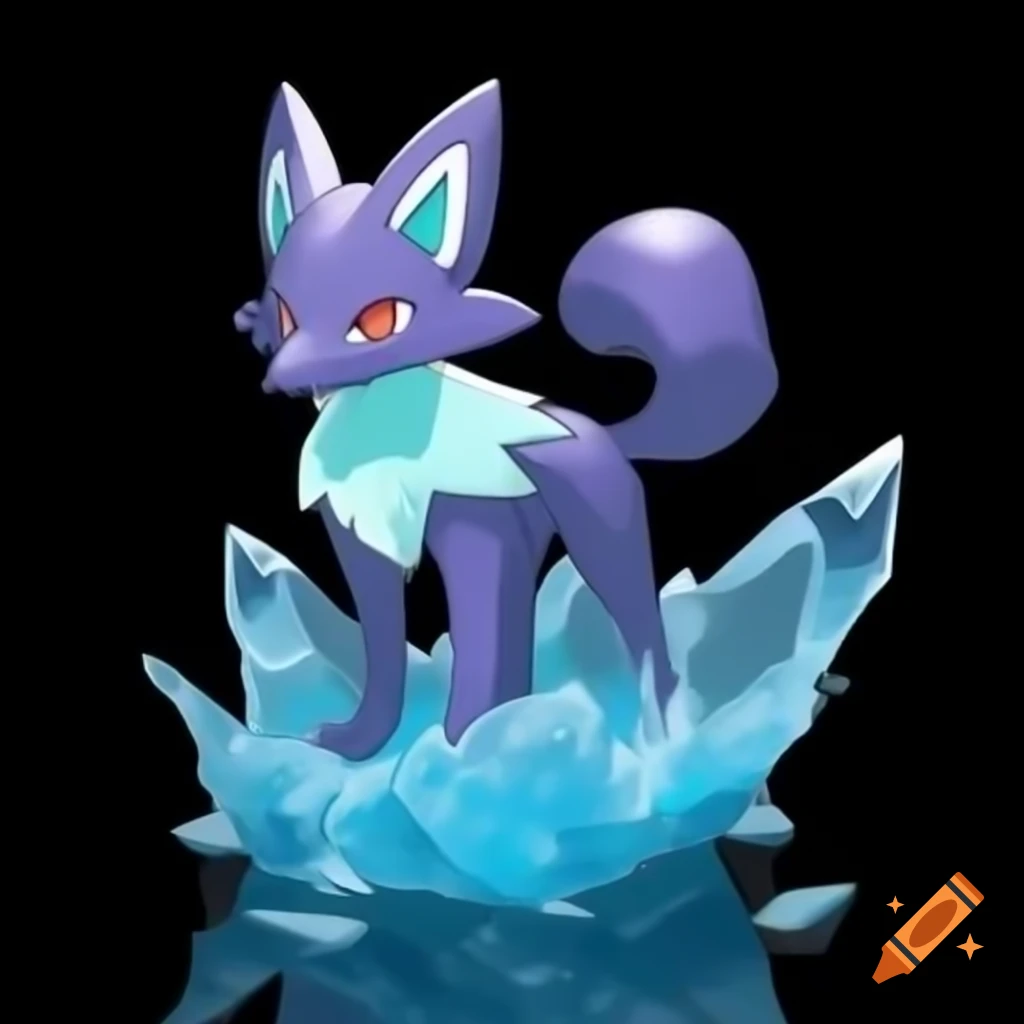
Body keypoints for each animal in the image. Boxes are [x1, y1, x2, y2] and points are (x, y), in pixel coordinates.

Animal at [233, 80, 778, 762]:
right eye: (283, 316)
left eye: (380, 322)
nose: (285, 375)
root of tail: (590, 428)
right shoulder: (362, 547)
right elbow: (382, 651)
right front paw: (360, 744)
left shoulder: (476, 533)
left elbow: (476, 643)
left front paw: (458, 754)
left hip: (597, 530)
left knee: (636, 625)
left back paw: (658, 729)